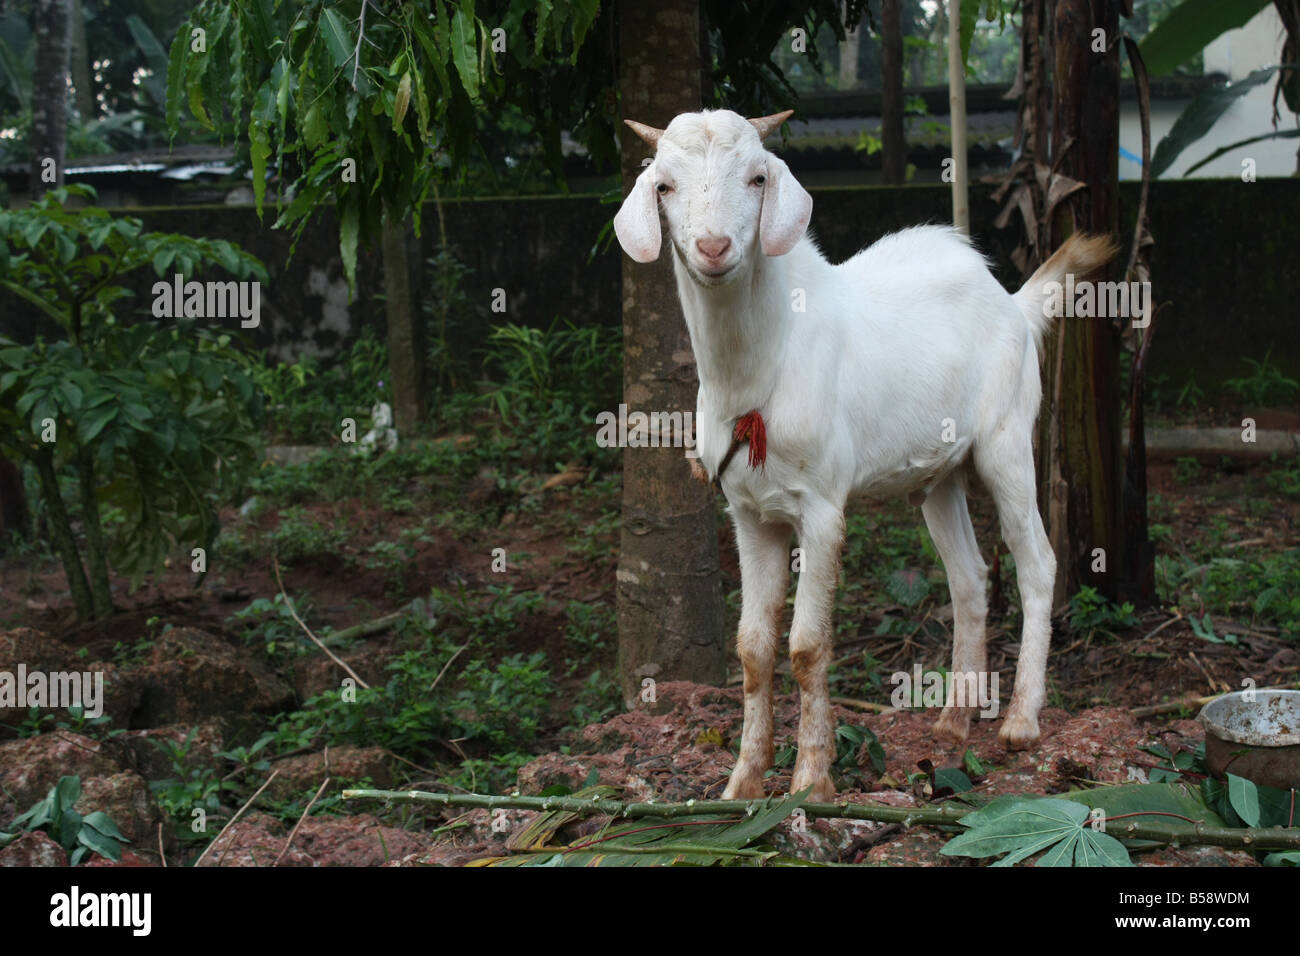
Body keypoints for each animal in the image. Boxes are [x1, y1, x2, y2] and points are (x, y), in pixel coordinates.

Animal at [613, 108, 1115, 801]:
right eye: (663, 185)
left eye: (758, 176)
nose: (714, 248)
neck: (758, 366)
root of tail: (1012, 302)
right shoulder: (749, 514)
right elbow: (751, 647)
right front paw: (743, 783)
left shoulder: (823, 508)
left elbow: (806, 645)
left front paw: (811, 781)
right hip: (940, 476)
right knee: (968, 576)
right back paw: (955, 719)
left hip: (1007, 439)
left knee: (1036, 562)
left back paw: (1020, 720)